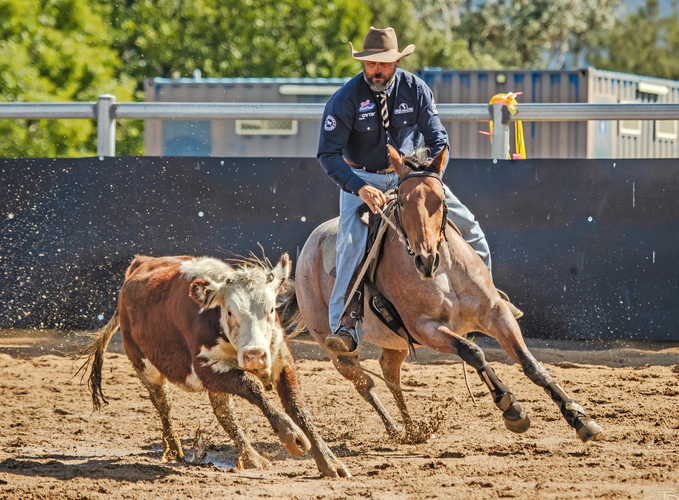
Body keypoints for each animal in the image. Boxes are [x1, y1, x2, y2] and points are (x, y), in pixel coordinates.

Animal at [294, 144, 602, 444]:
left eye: (440, 199)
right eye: (402, 201)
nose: (425, 259)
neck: (444, 270)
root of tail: (310, 244)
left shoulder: (496, 313)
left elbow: (531, 364)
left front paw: (579, 418)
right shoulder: (425, 329)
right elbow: (473, 351)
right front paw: (511, 408)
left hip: (396, 342)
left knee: (389, 373)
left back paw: (412, 429)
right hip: (336, 349)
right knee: (364, 384)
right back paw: (395, 427)